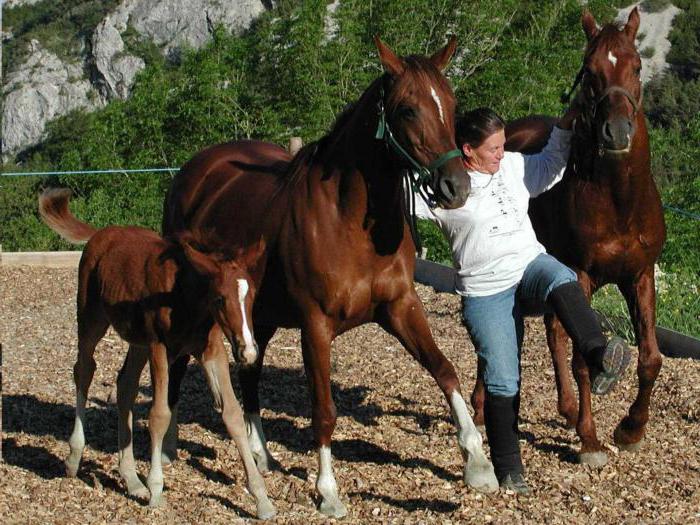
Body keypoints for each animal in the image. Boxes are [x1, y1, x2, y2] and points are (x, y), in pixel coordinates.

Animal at [37, 187, 274, 516]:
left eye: (251, 296)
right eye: (219, 298)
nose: (249, 351)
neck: (184, 298)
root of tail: (101, 234)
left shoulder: (211, 351)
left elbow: (233, 415)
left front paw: (262, 500)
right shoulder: (160, 348)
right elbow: (159, 414)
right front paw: (157, 491)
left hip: (137, 341)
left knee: (125, 385)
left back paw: (131, 480)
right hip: (91, 318)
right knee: (84, 370)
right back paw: (74, 458)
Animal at [163, 36, 498, 516]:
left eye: (451, 104)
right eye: (408, 109)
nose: (456, 187)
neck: (347, 220)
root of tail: (193, 172)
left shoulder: (400, 307)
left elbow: (444, 369)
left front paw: (478, 461)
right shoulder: (315, 325)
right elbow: (324, 409)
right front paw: (328, 491)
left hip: (258, 316)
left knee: (250, 374)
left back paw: (262, 455)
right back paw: (168, 447)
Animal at [470, 8, 668, 464]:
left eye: (637, 66)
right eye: (590, 71)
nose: (617, 131)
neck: (618, 201)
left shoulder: (640, 276)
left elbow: (650, 357)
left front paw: (631, 429)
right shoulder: (581, 274)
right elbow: (581, 359)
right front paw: (590, 439)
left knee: (551, 331)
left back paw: (565, 407)